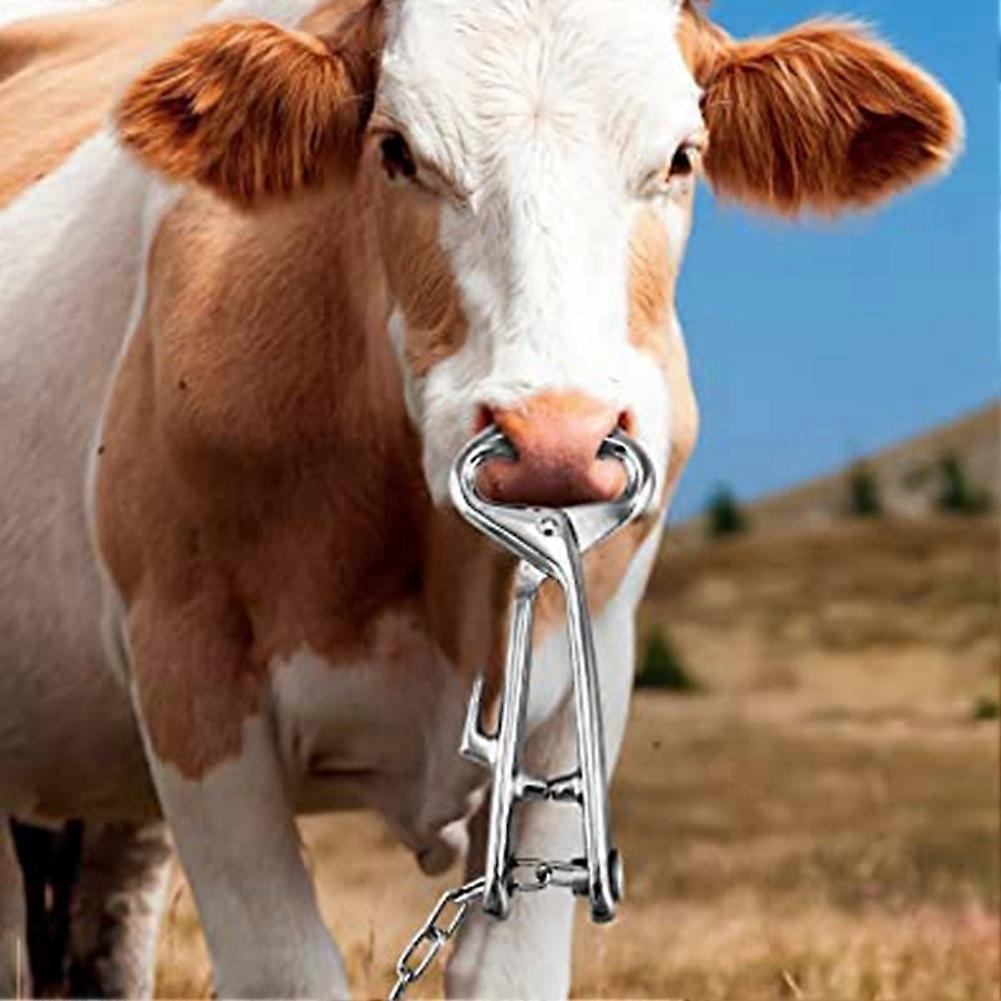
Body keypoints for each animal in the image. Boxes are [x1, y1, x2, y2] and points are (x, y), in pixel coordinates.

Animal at [0, 0, 960, 996]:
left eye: (680, 156)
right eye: (394, 148)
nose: (555, 439)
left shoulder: (586, 685)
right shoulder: (192, 671)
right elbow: (288, 967)